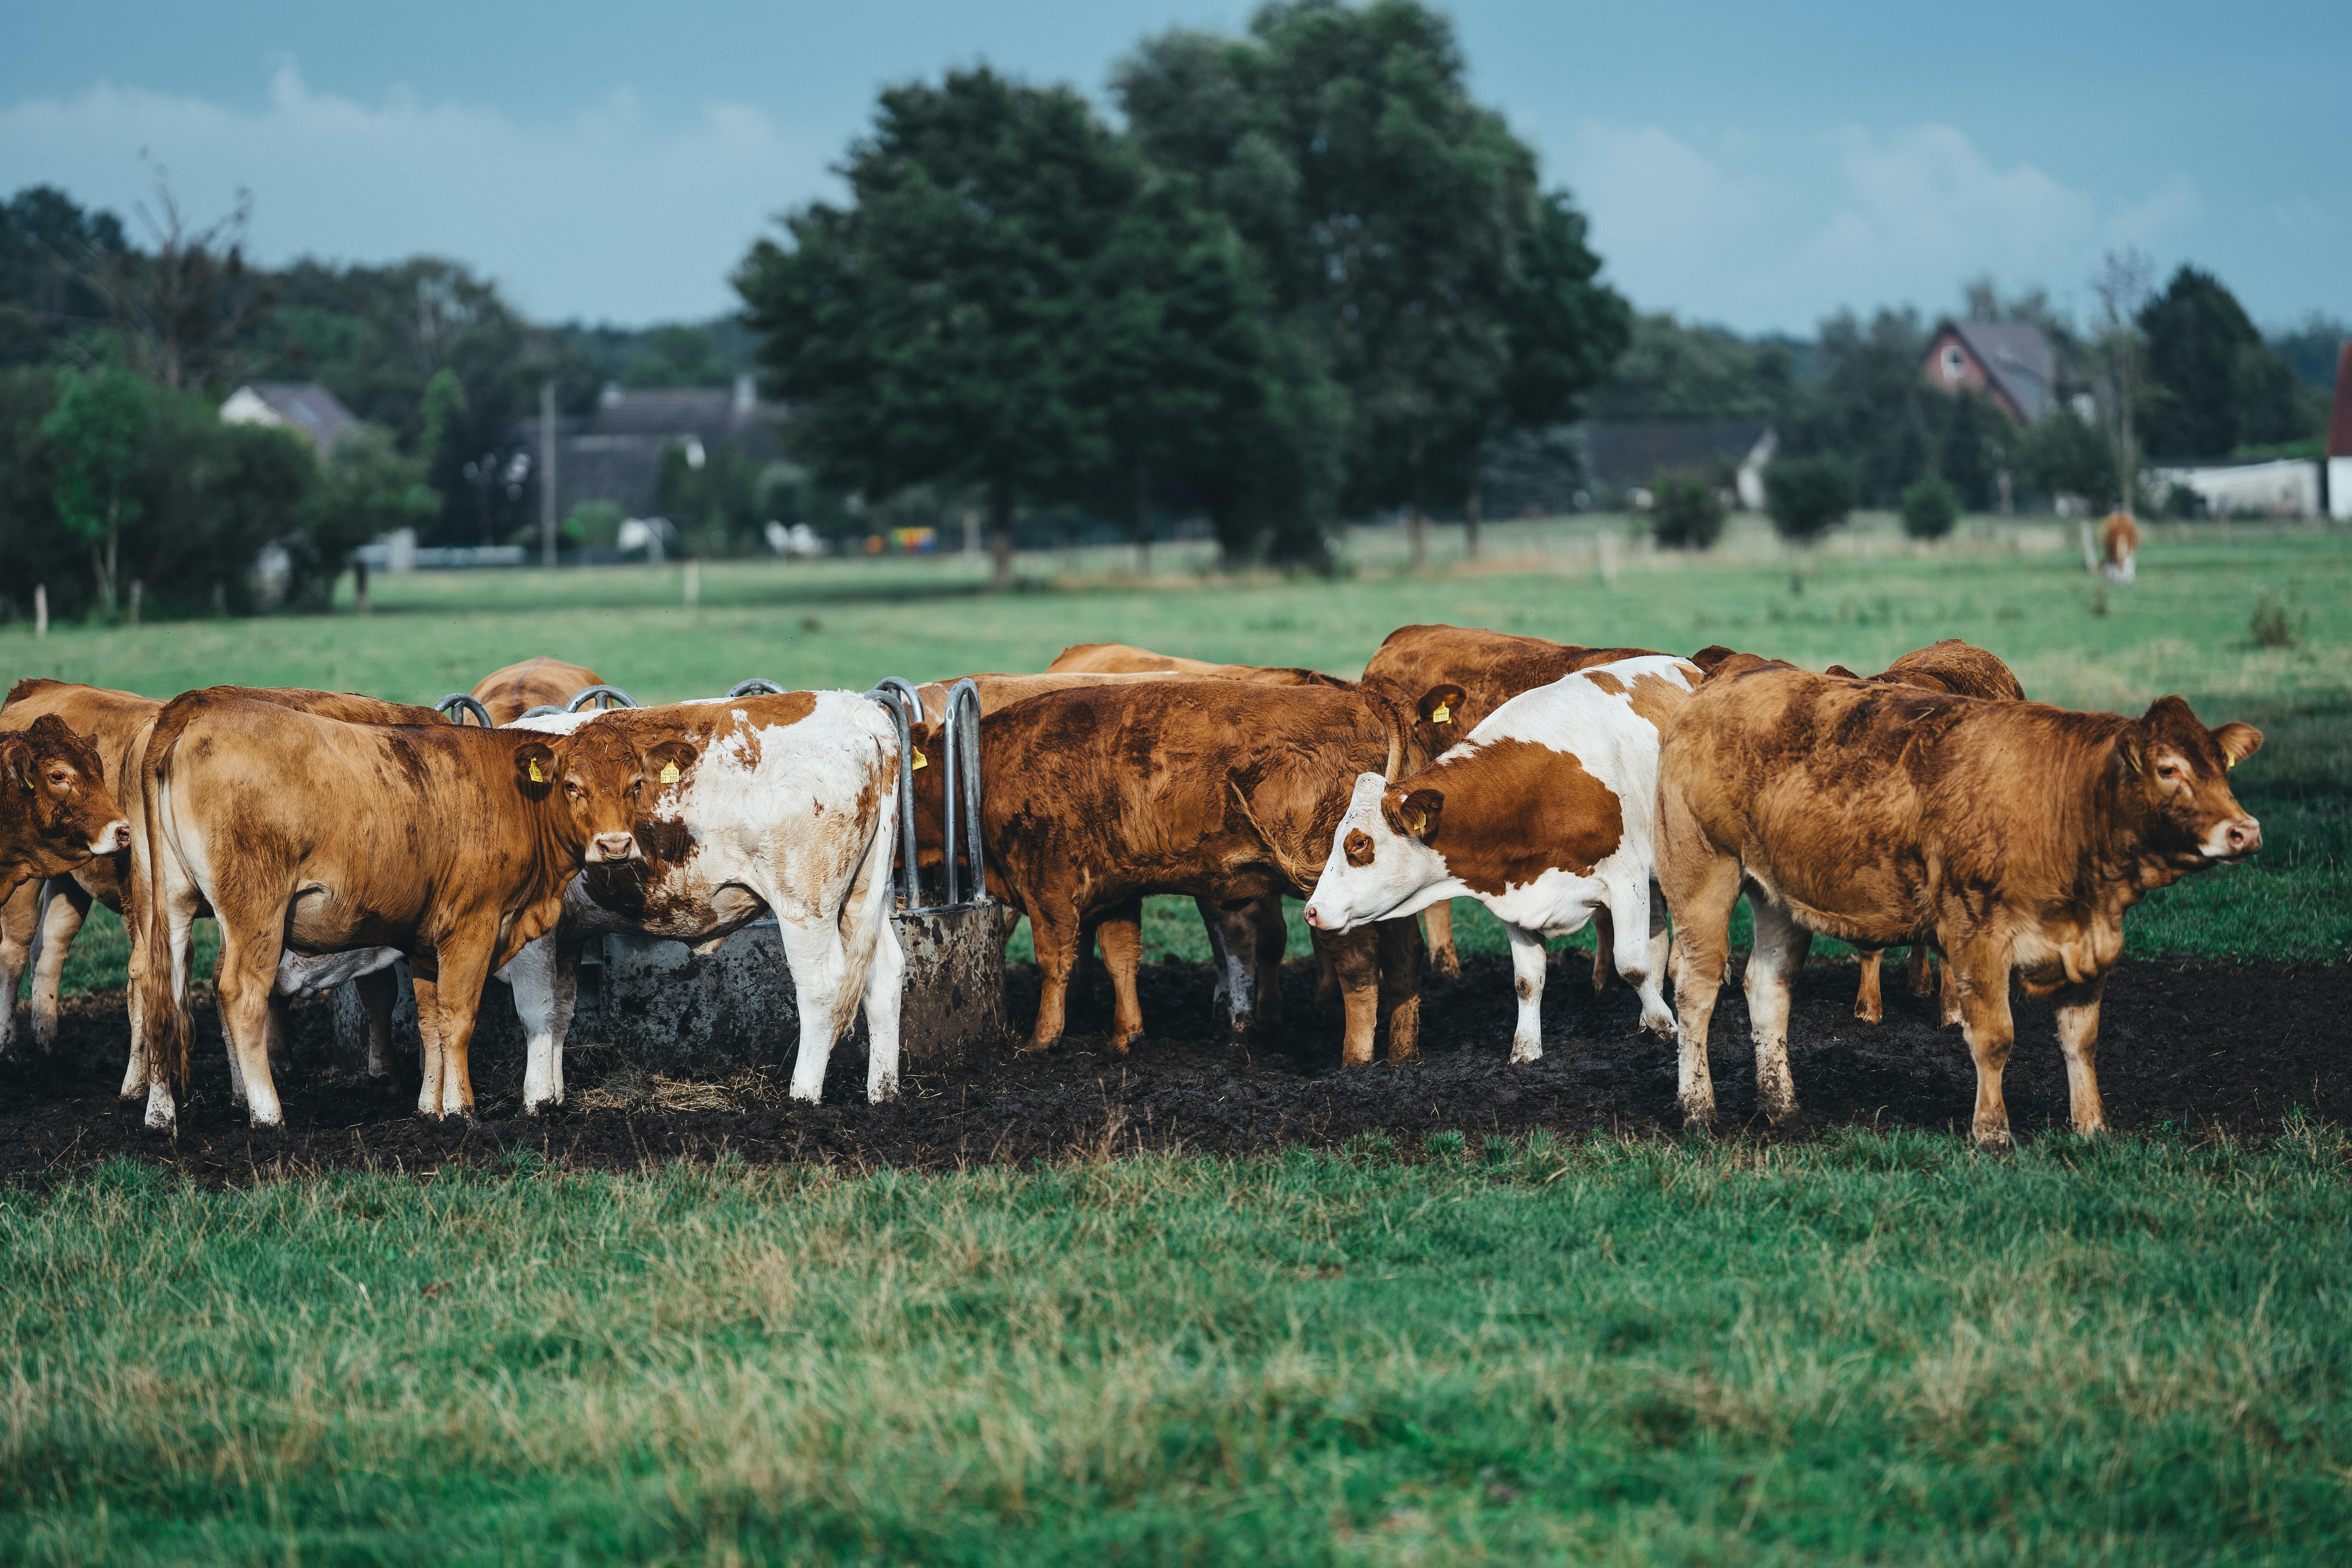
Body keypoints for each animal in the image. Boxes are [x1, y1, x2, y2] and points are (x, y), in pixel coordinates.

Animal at [133, 693, 655, 1129]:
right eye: (572, 785)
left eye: (635, 785)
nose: (615, 845)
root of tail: (197, 706)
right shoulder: (473, 926)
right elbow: (459, 1018)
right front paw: (463, 1110)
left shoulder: (424, 943)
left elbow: (430, 1022)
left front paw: (430, 1107)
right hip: (255, 912)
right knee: (241, 994)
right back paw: (268, 1114)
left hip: (172, 904)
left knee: (166, 992)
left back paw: (160, 1115)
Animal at [493, 691, 905, 1111]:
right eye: (573, 786)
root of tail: (853, 706)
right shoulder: (567, 937)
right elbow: (560, 1012)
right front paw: (556, 1097)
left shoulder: (531, 931)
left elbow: (536, 1013)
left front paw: (537, 1102)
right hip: (861, 896)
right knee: (884, 974)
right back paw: (883, 1094)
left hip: (805, 903)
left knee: (821, 986)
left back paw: (803, 1095)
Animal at [910, 680, 1436, 1064]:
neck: (983, 771)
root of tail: (1362, 697)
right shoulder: (1116, 890)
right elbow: (1121, 959)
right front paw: (1126, 1036)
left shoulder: (1048, 886)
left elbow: (1053, 961)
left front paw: (1042, 1039)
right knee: (1405, 953)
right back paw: (1403, 1052)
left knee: (1359, 962)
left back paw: (1355, 1059)